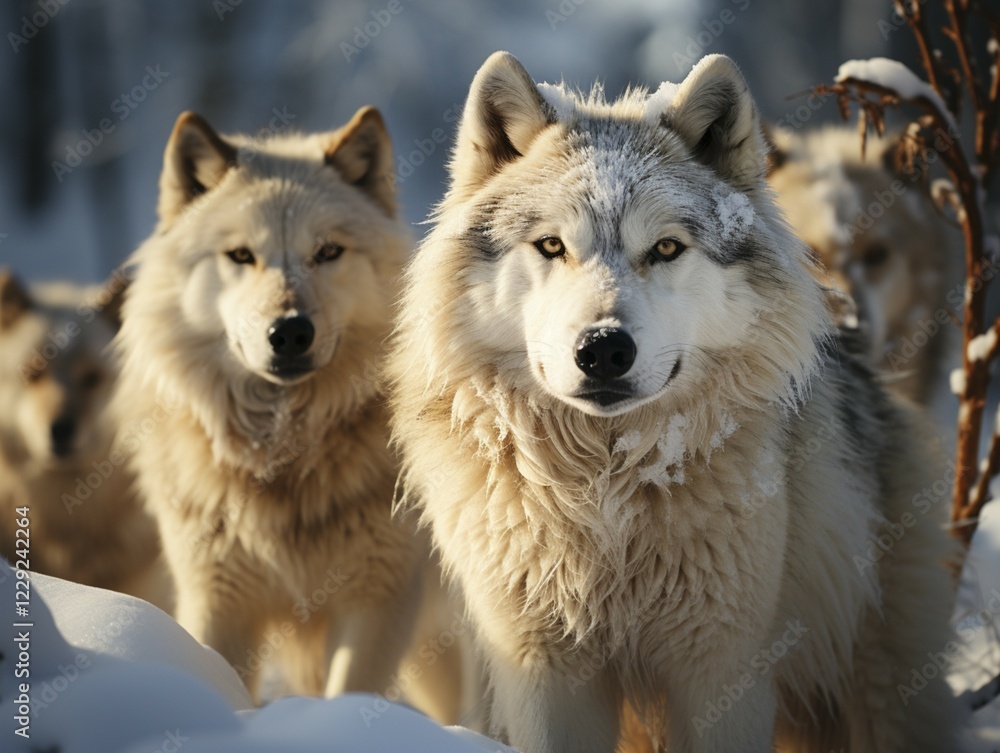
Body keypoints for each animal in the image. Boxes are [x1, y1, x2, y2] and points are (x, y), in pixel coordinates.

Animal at [114, 107, 421, 699]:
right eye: (240, 256)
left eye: (327, 252)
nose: (291, 332)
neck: (284, 454)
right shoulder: (218, 604)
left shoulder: (379, 602)